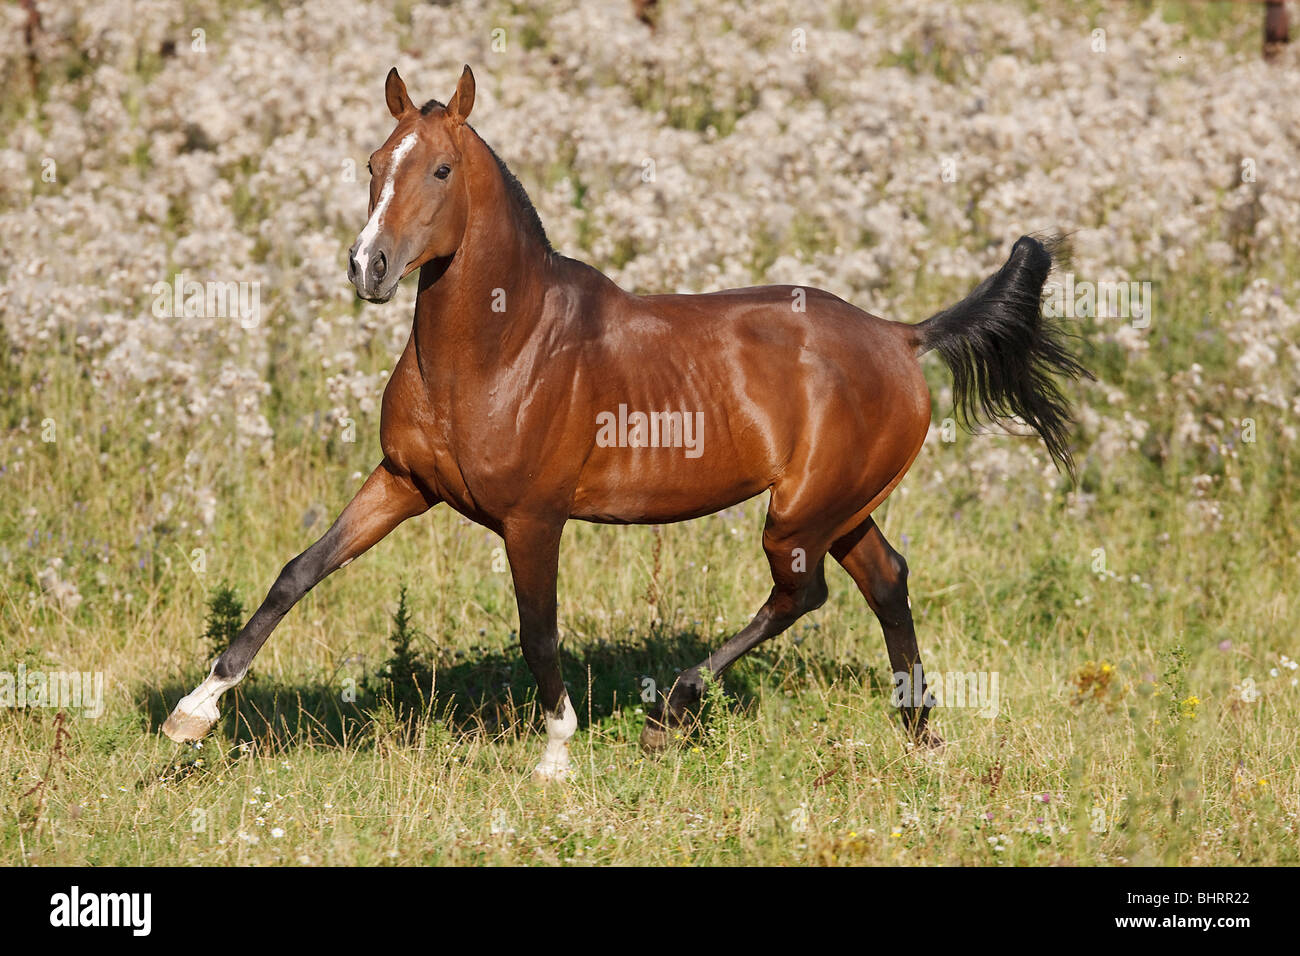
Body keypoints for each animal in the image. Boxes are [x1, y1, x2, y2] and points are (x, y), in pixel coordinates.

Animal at [164, 66, 1088, 779]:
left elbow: (539, 635)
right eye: (373, 162)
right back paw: (919, 731)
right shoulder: (402, 483)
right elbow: (297, 573)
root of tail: (902, 336)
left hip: (800, 514)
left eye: (440, 170)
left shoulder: (533, 519)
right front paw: (193, 712)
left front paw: (557, 754)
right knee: (885, 579)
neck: (503, 347)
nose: (369, 267)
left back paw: (672, 710)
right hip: (842, 505)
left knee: (805, 593)